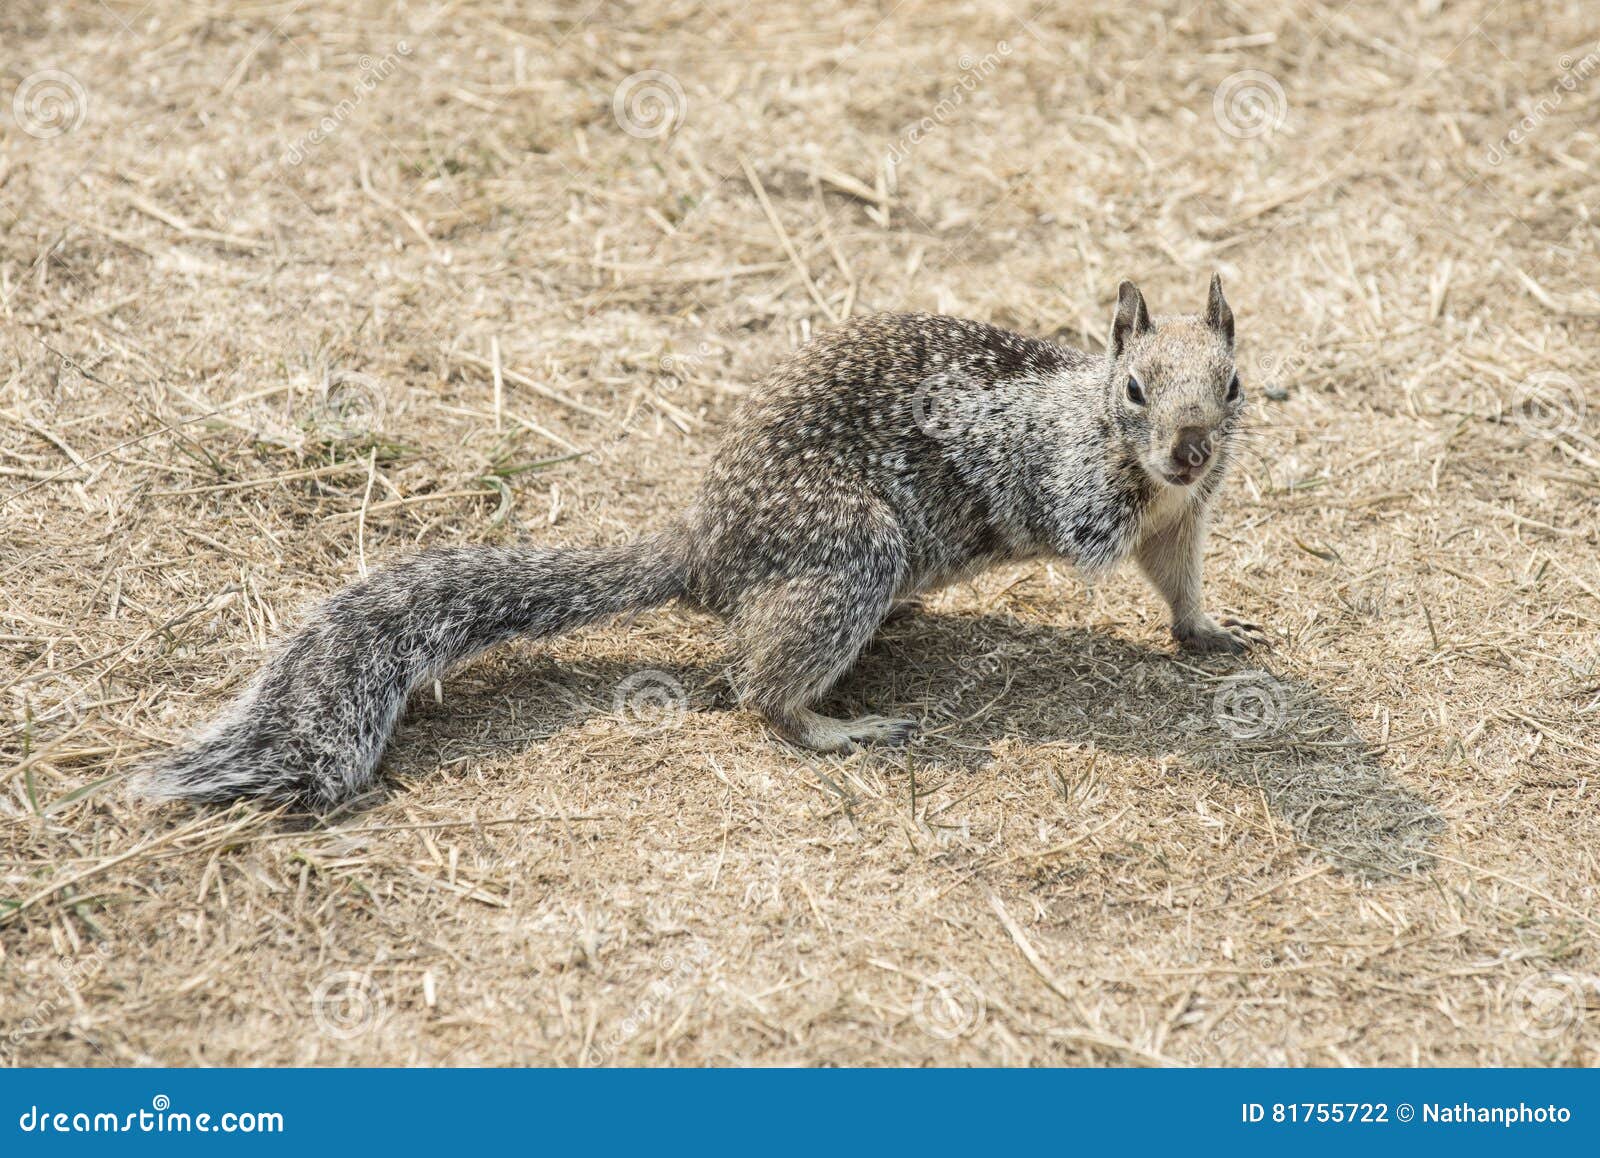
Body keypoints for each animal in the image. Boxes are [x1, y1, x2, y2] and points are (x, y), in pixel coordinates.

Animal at [136, 275, 1262, 808]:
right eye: (1133, 389)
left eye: (1236, 381)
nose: (1190, 447)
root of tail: (704, 547)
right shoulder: (1071, 479)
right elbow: (1091, 528)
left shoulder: (1187, 521)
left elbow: (1179, 585)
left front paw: (1209, 631)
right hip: (849, 550)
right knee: (757, 688)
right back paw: (842, 728)